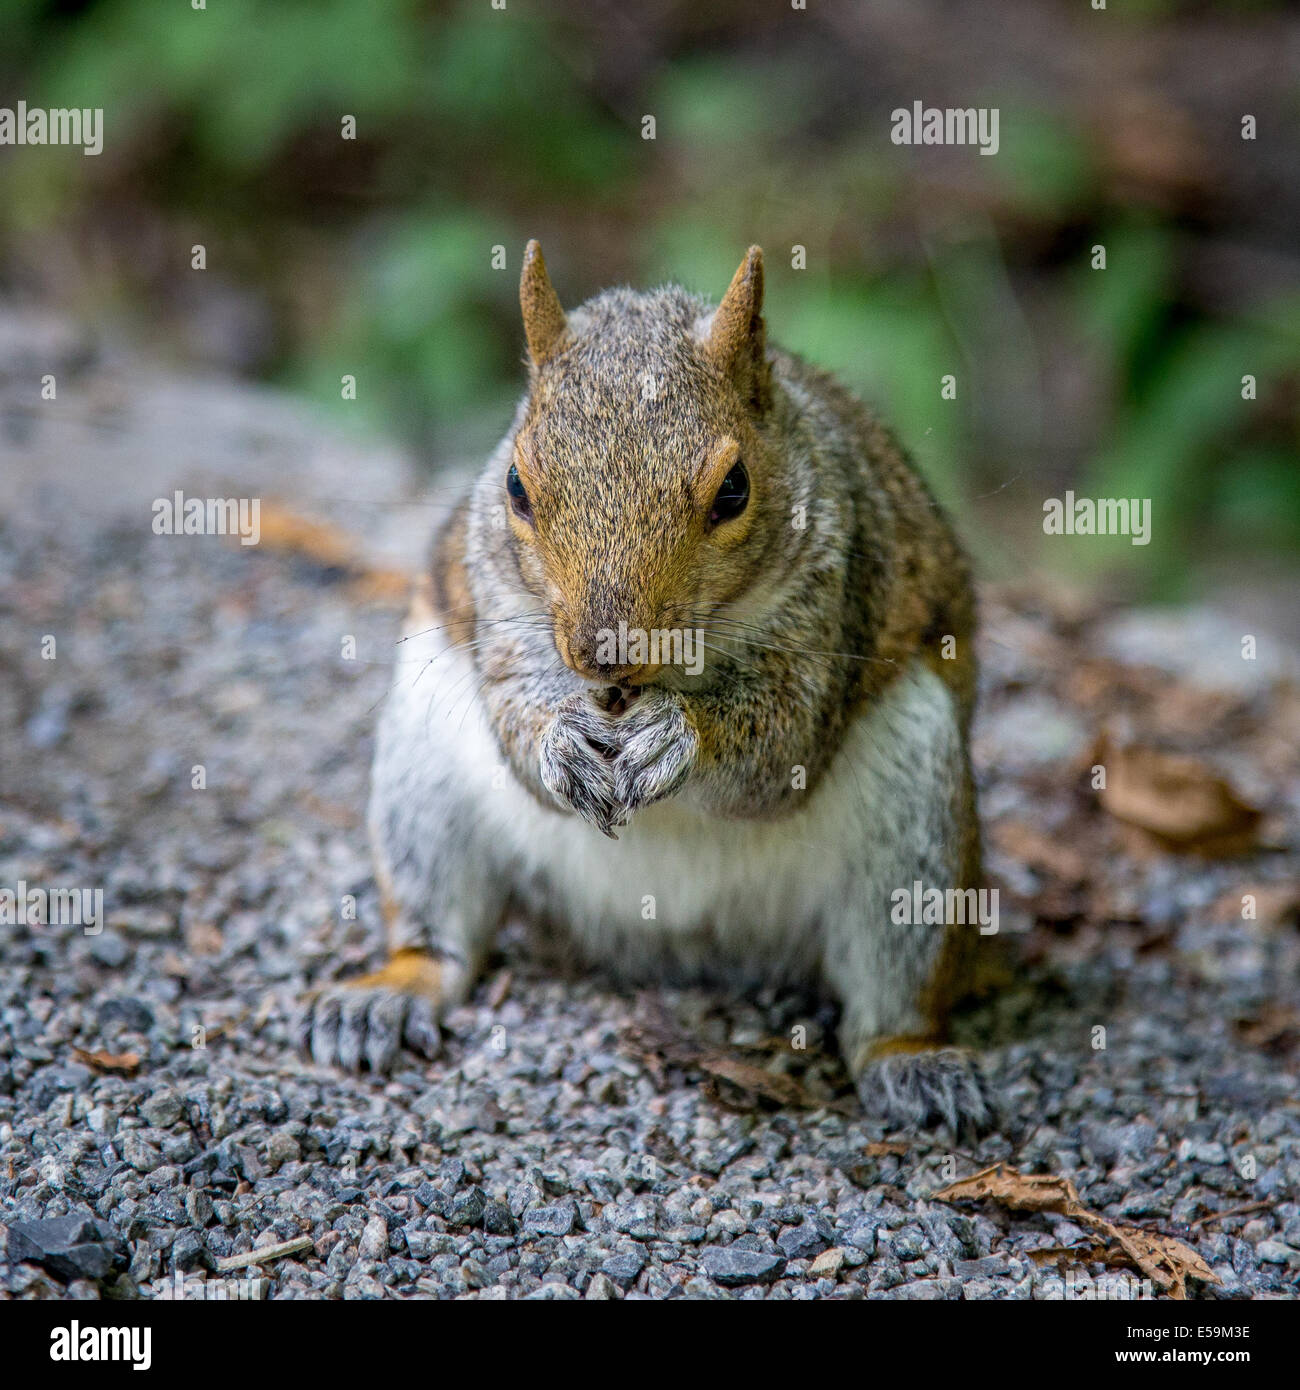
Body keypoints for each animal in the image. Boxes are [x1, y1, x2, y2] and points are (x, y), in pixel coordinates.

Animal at [298, 241, 991, 1134]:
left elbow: (781, 742)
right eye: (516, 485)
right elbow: (517, 712)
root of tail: (672, 938)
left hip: (917, 817)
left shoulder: (837, 599)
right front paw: (560, 742)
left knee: (890, 987)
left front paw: (677, 736)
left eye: (734, 490)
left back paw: (913, 1060)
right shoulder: (497, 600)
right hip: (422, 766)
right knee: (440, 931)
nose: (605, 653)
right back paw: (388, 993)